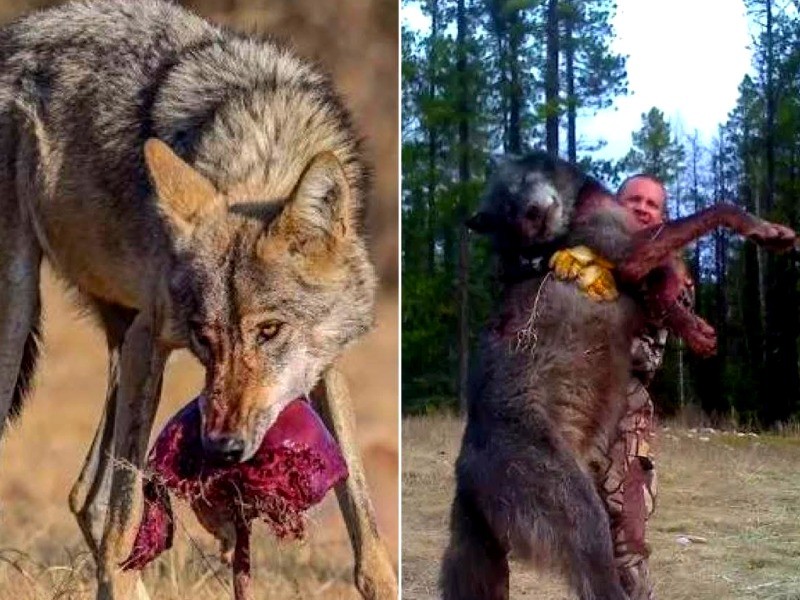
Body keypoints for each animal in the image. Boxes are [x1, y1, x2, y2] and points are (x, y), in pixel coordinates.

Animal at [0, 1, 396, 599]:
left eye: (269, 331)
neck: (260, 155)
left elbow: (367, 530)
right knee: (101, 508)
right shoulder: (152, 338)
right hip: (26, 325)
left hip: (116, 341)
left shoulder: (324, 364)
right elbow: (124, 523)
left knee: (86, 498)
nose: (222, 448)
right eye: (206, 339)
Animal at [440, 152, 795, 600]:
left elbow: (663, 286)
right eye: (505, 209)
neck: (575, 210)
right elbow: (719, 209)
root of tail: (463, 477)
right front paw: (767, 231)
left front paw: (691, 322)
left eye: (517, 188)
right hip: (583, 518)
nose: (532, 219)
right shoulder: (626, 250)